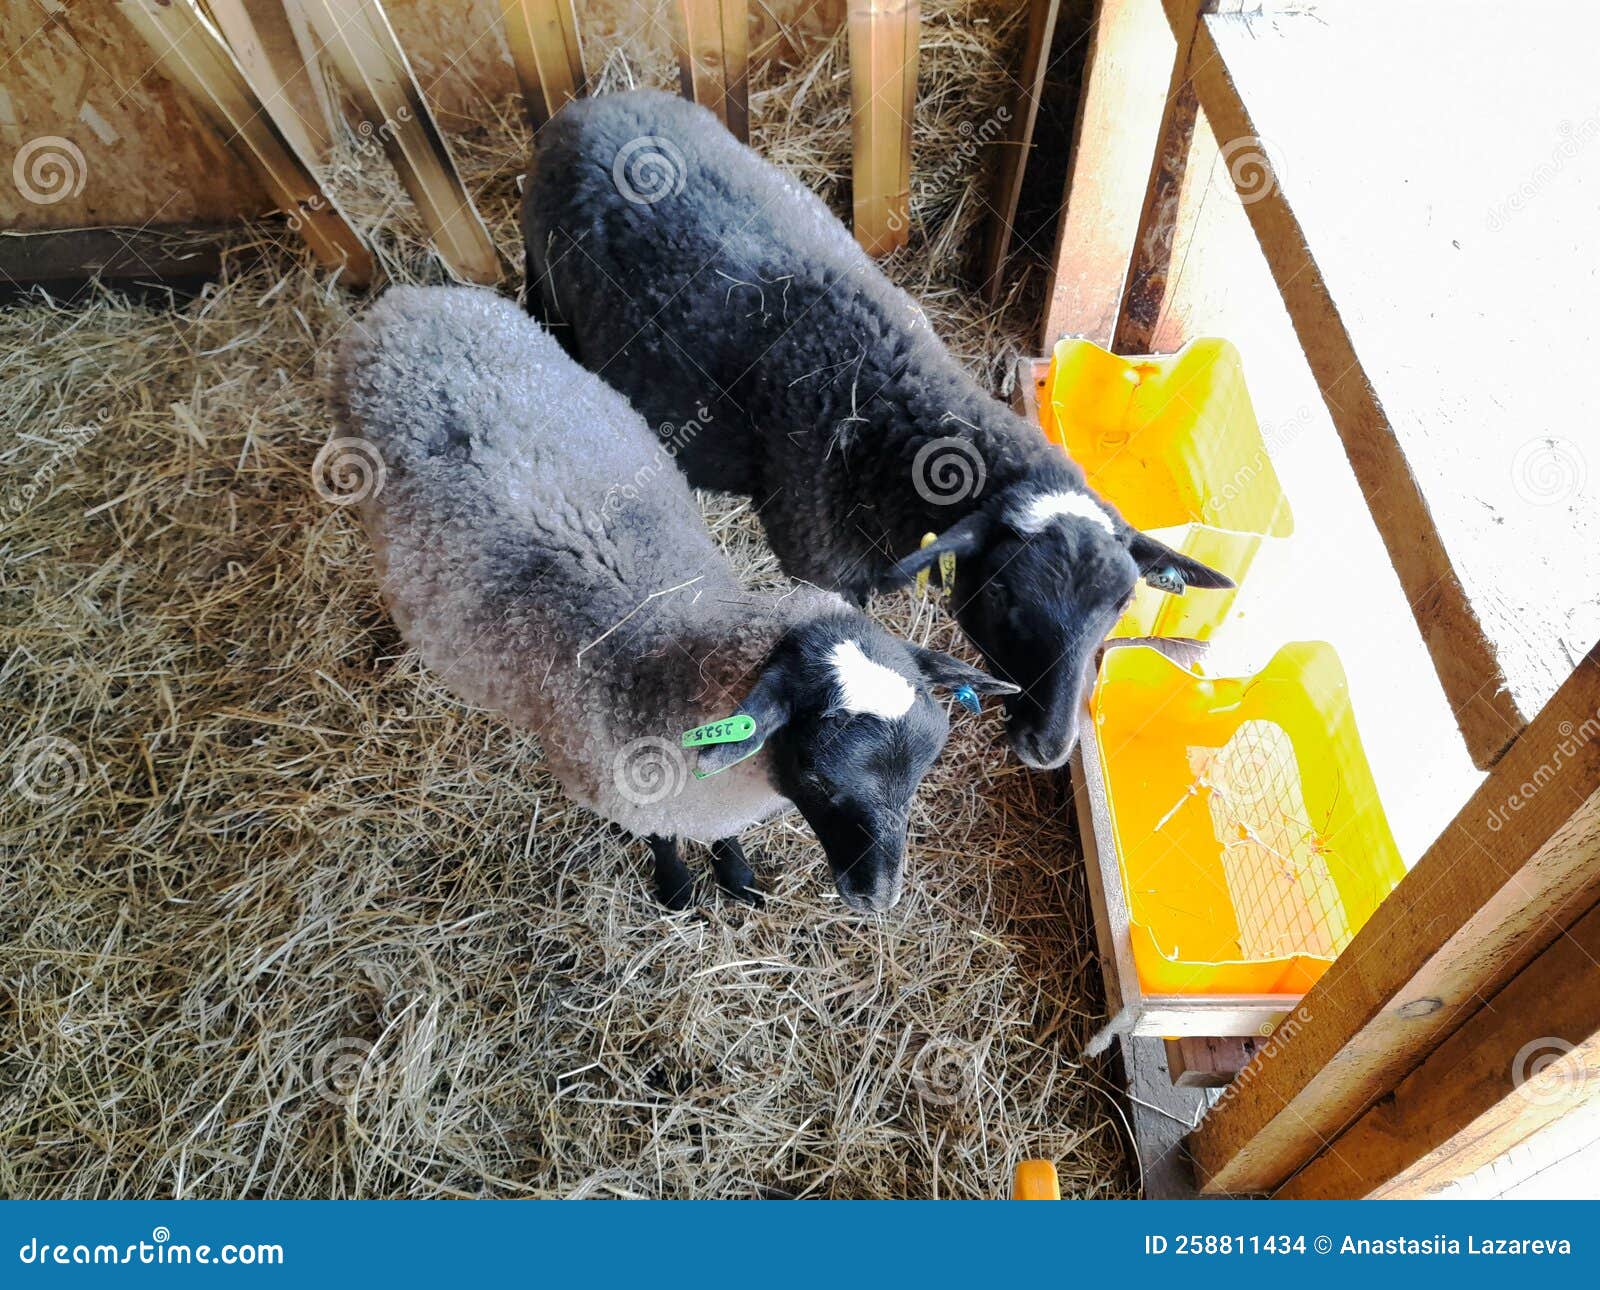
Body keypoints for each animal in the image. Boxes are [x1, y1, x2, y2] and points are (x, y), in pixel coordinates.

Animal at [332, 285, 1016, 911]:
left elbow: (724, 840)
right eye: (818, 777)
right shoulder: (633, 792)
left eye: (922, 773)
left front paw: (737, 875)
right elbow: (662, 839)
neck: (669, 645)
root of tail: (410, 300)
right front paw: (678, 888)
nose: (877, 900)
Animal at [522, 89, 1232, 771]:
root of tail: (591, 106)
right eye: (1006, 599)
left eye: (1119, 607)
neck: (890, 406)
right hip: (546, 292)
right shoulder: (818, 565)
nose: (1050, 749)